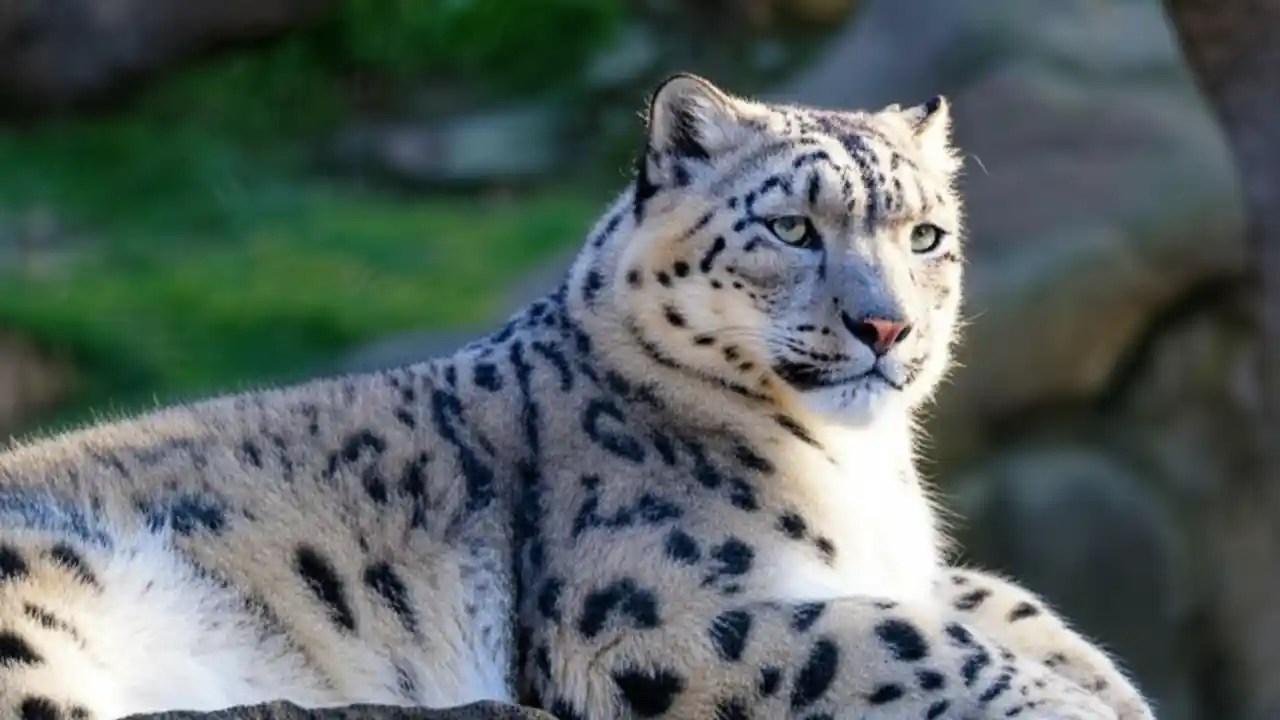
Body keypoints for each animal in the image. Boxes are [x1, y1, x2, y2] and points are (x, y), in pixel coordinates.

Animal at [0, 74, 1155, 720]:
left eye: (924, 235)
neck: (860, 473)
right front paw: (1068, 707)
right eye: (791, 227)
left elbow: (1000, 603)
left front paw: (1108, 687)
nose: (887, 328)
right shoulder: (656, 612)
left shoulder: (907, 568)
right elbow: (901, 638)